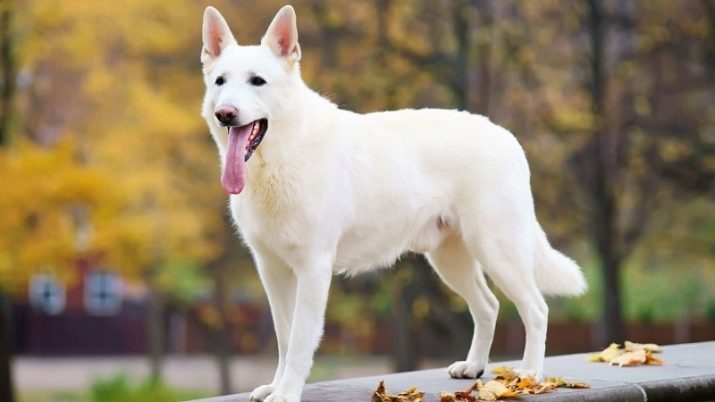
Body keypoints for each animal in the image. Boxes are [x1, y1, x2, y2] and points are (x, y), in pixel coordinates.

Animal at [200, 4, 580, 400]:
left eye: (258, 81)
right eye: (220, 82)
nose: (225, 113)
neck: (283, 157)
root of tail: (507, 136)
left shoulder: (313, 267)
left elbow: (301, 340)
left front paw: (287, 392)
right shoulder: (271, 269)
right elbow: (284, 337)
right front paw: (275, 386)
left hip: (497, 250)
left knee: (536, 308)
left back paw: (531, 374)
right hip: (450, 260)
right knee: (488, 306)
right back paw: (474, 366)